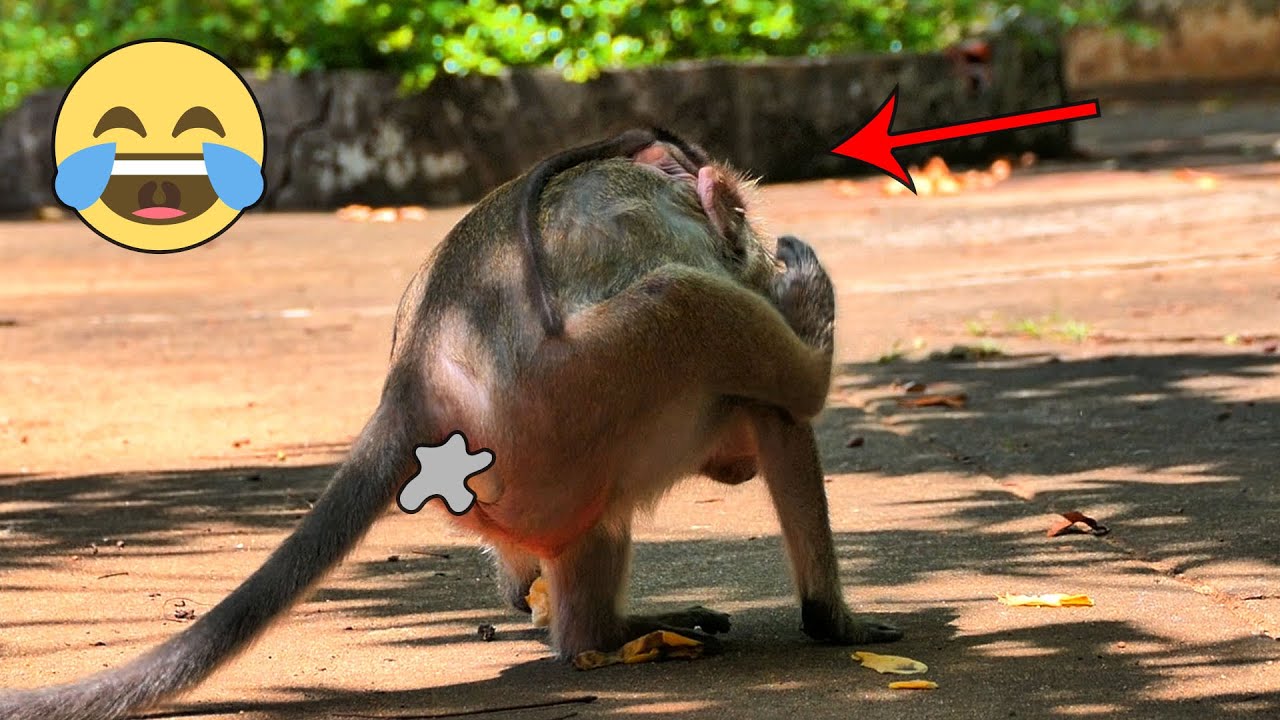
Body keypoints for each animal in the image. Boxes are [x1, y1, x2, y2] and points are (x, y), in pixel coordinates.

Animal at [0, 132, 902, 720]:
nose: (754, 248)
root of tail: (416, 379)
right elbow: (765, 412)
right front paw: (834, 619)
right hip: (568, 393)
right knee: (692, 313)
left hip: (531, 470)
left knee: (588, 533)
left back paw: (604, 633)